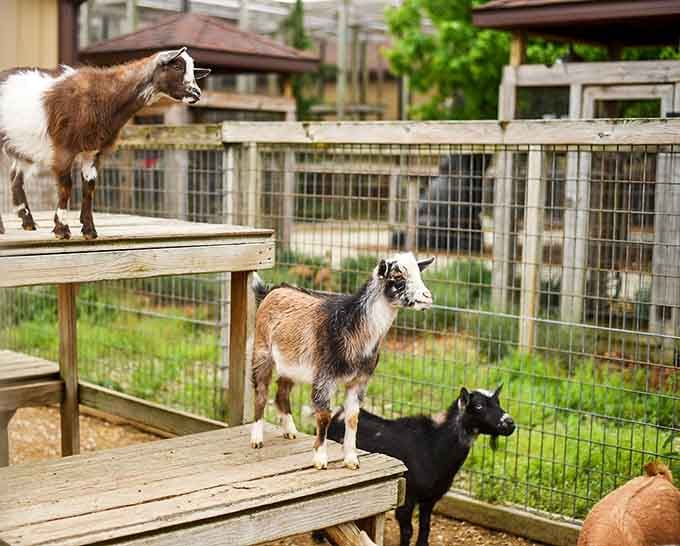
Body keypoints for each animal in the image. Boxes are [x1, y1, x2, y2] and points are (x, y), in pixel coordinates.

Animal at [0, 48, 209, 240]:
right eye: (177, 66)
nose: (197, 93)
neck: (105, 96)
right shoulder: (64, 148)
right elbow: (66, 186)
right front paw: (62, 230)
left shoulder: (92, 150)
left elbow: (89, 187)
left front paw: (89, 231)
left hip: (21, 146)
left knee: (15, 178)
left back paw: (28, 222)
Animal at [249, 252, 435, 471]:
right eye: (397, 277)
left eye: (419, 274)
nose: (427, 297)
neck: (351, 327)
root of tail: (270, 292)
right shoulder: (325, 378)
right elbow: (324, 416)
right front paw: (320, 459)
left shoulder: (359, 381)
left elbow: (353, 418)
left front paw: (351, 459)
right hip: (262, 352)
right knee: (261, 392)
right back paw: (257, 438)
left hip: (291, 363)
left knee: (282, 391)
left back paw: (290, 430)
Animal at [321, 386, 515, 546]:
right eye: (479, 406)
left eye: (498, 402)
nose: (510, 423)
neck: (434, 444)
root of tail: (338, 413)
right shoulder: (407, 496)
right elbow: (408, 530)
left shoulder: (431, 498)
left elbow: (425, 526)